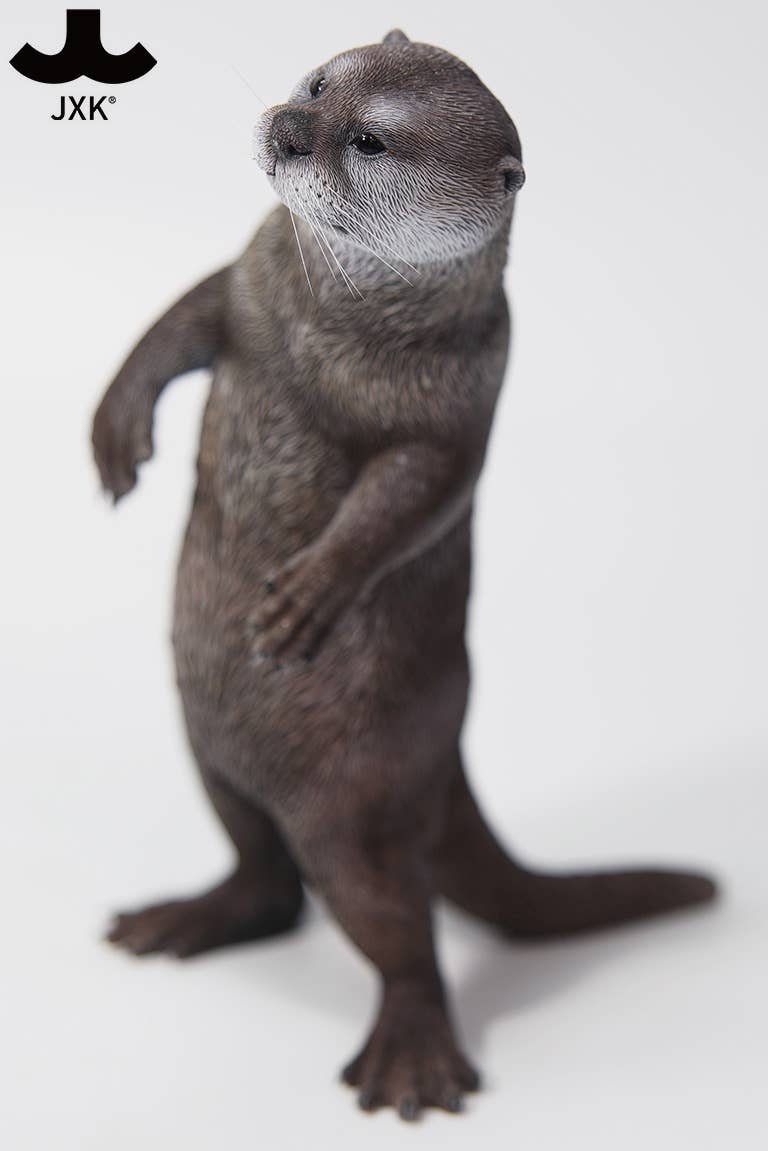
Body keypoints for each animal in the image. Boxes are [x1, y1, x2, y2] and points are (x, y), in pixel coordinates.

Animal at [92, 30, 716, 1120]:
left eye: (372, 141)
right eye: (316, 83)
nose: (289, 128)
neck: (331, 332)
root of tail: (446, 758)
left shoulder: (461, 394)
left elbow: (412, 494)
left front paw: (306, 597)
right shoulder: (249, 283)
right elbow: (180, 319)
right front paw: (116, 429)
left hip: (357, 803)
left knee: (395, 925)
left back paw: (410, 1057)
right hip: (209, 750)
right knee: (264, 873)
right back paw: (185, 917)